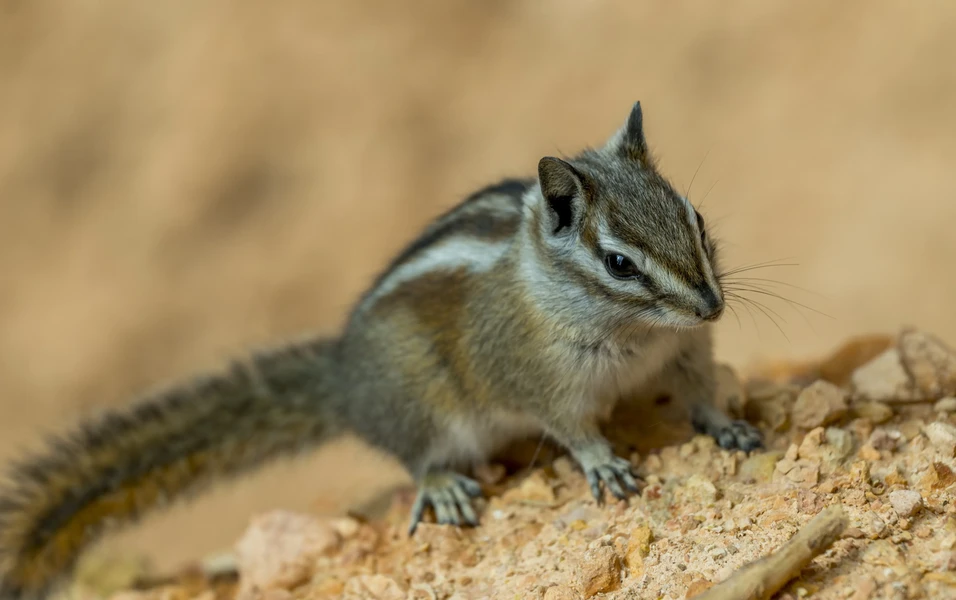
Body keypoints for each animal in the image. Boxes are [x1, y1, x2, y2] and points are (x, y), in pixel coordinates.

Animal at [0, 101, 762, 600]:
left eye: (693, 216)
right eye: (618, 263)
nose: (711, 306)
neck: (639, 335)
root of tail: (341, 380)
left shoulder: (685, 352)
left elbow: (700, 393)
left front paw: (728, 425)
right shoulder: (538, 378)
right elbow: (572, 429)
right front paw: (603, 463)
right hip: (421, 406)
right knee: (418, 456)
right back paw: (443, 484)